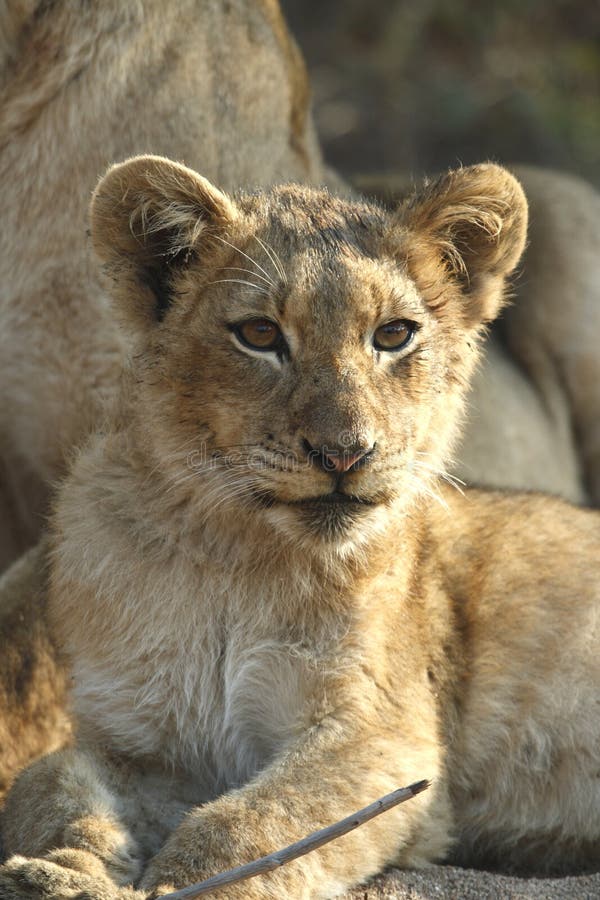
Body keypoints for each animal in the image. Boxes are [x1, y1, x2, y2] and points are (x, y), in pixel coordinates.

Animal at [0, 156, 599, 900]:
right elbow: (46, 777)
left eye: (394, 334)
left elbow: (248, 823)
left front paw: (166, 886)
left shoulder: (384, 737)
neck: (232, 553)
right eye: (259, 335)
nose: (345, 453)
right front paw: (67, 870)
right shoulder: (155, 749)